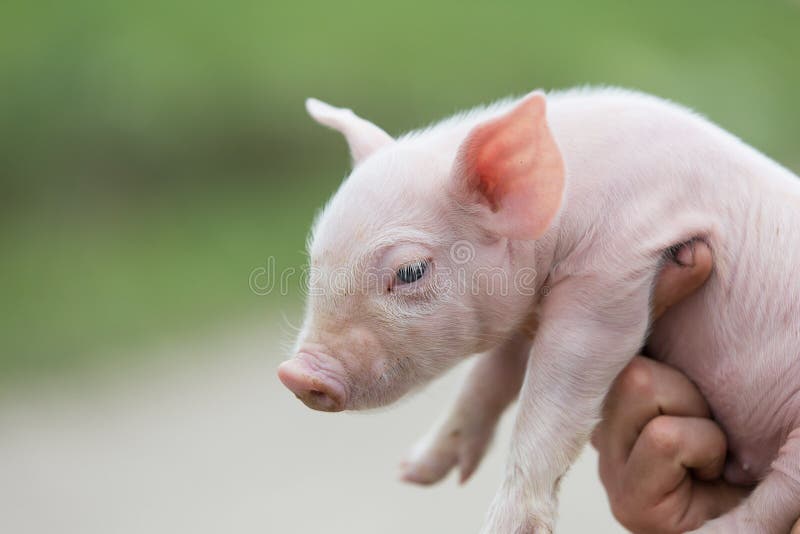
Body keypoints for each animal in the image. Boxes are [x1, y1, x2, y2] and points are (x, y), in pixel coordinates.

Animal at [277, 87, 800, 533]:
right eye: (316, 259)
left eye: (410, 271)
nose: (297, 374)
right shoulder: (522, 308)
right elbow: (488, 378)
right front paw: (413, 471)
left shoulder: (615, 270)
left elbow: (552, 397)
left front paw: (503, 527)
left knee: (778, 496)